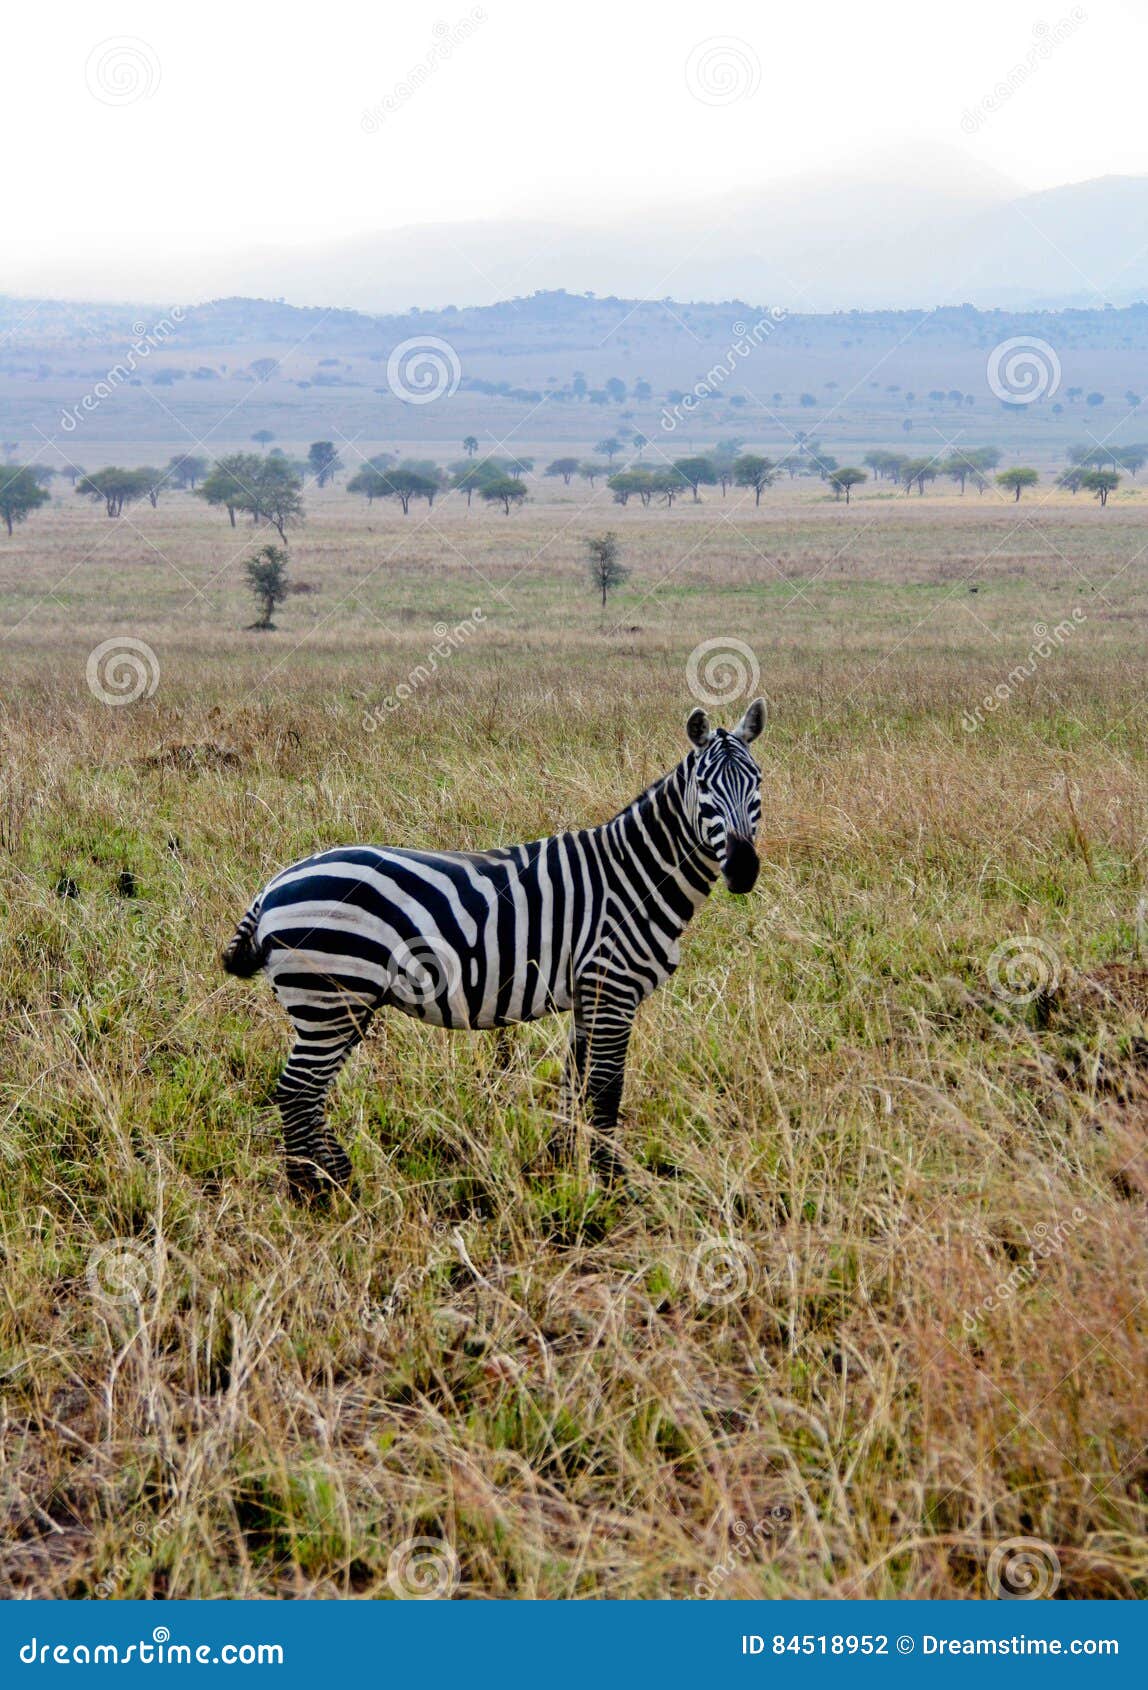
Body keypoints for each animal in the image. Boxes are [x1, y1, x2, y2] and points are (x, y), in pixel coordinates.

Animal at [222, 698, 765, 1196]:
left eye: (758, 783)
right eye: (705, 790)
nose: (744, 870)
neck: (635, 879)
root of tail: (271, 886)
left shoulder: (589, 993)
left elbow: (574, 1082)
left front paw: (558, 1168)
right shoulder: (613, 988)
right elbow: (607, 1091)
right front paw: (614, 1187)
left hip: (336, 1005)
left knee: (308, 1096)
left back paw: (337, 1179)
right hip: (328, 997)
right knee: (296, 1093)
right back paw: (311, 1193)